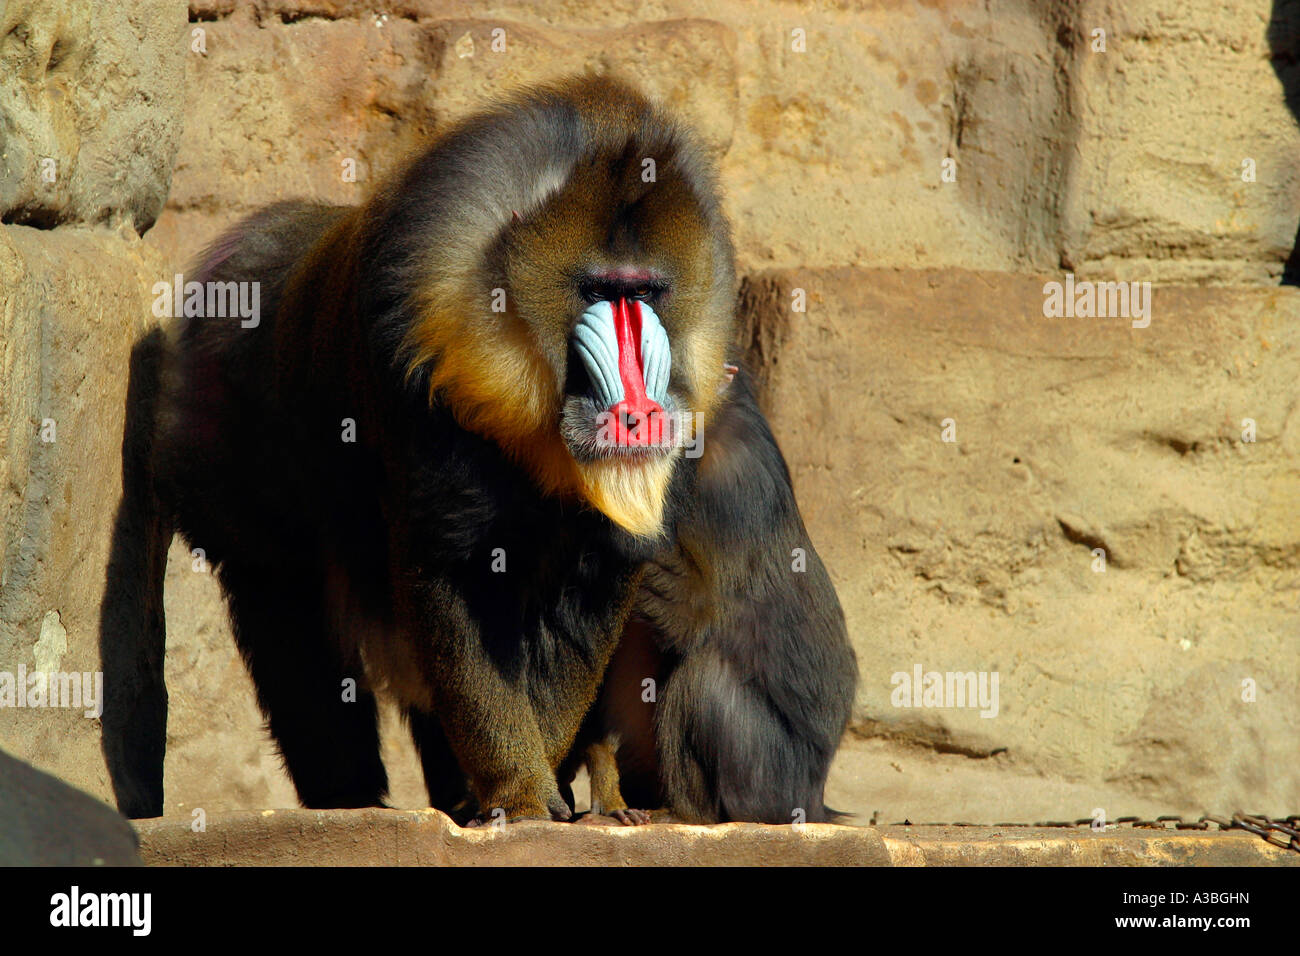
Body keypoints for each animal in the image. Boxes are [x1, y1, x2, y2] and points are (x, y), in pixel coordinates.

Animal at [100, 75, 740, 823]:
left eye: (647, 292)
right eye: (598, 291)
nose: (639, 415)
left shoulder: (598, 555)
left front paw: (537, 789)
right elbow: (451, 593)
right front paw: (521, 797)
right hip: (245, 510)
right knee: (295, 635)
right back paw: (347, 801)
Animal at [559, 363, 858, 825]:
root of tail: (816, 801)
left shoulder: (729, 483)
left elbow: (693, 613)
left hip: (770, 787)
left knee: (704, 680)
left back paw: (684, 813)